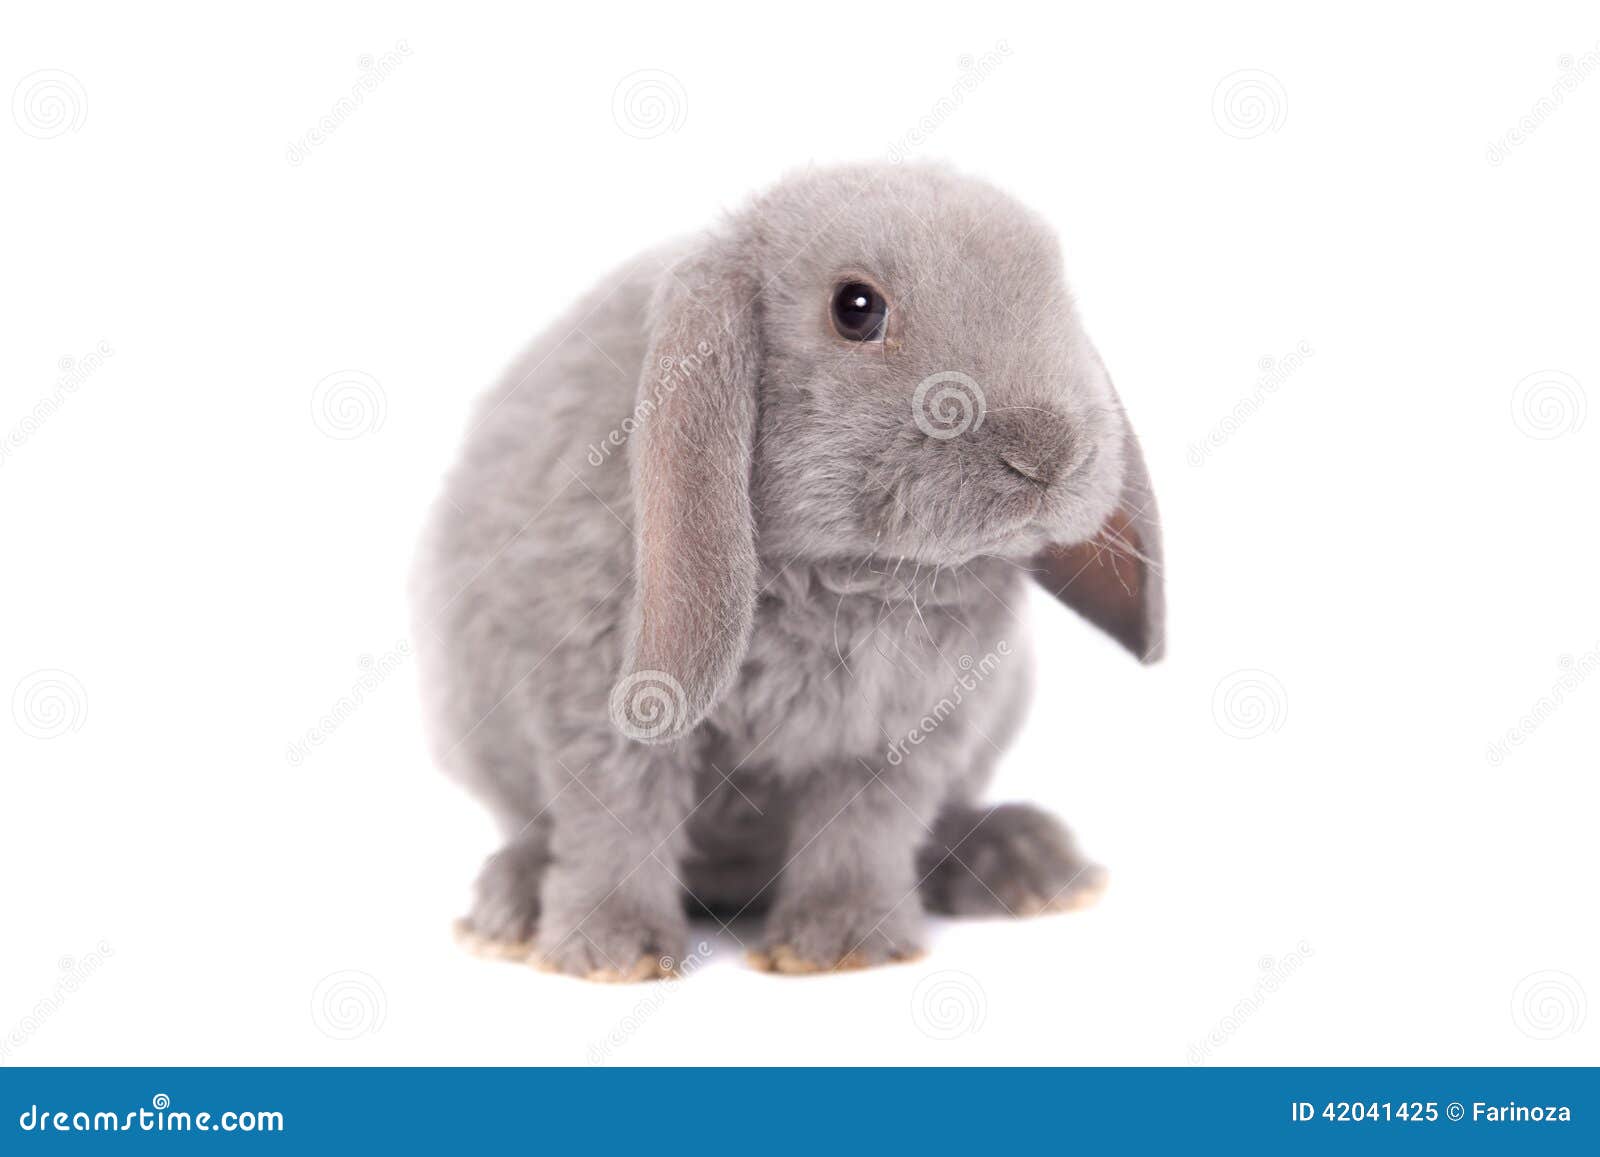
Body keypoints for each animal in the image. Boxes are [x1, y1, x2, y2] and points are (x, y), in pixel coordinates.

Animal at [411, 162, 1164, 981]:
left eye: (1059, 292)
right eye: (856, 309)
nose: (1050, 452)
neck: (856, 575)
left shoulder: (899, 733)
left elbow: (864, 830)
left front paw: (840, 945)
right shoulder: (602, 707)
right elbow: (615, 817)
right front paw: (611, 952)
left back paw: (1027, 863)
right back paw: (509, 908)